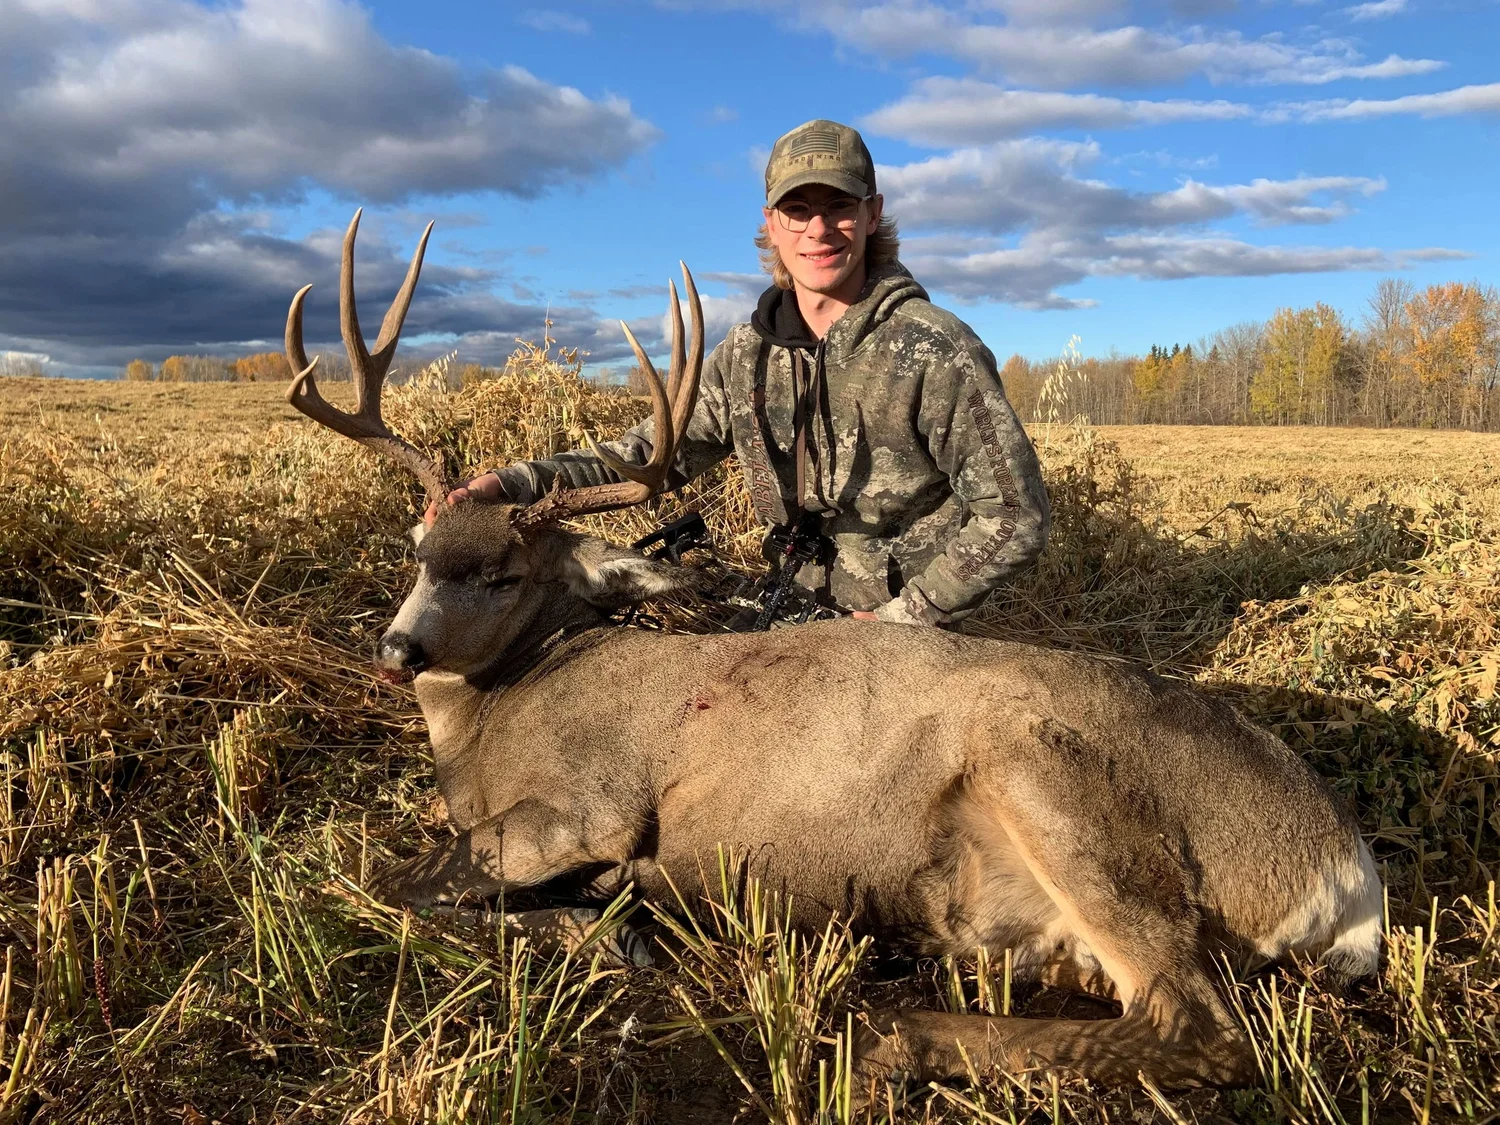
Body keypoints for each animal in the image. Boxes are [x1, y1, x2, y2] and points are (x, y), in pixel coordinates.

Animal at [282, 210, 1384, 1093]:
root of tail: (1348, 868)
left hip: (1053, 774)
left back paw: (888, 1039)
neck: (492, 722)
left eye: (503, 573)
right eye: (418, 547)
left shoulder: (590, 801)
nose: (398, 647)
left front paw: (602, 926)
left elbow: (403, 878)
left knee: (1201, 1023)